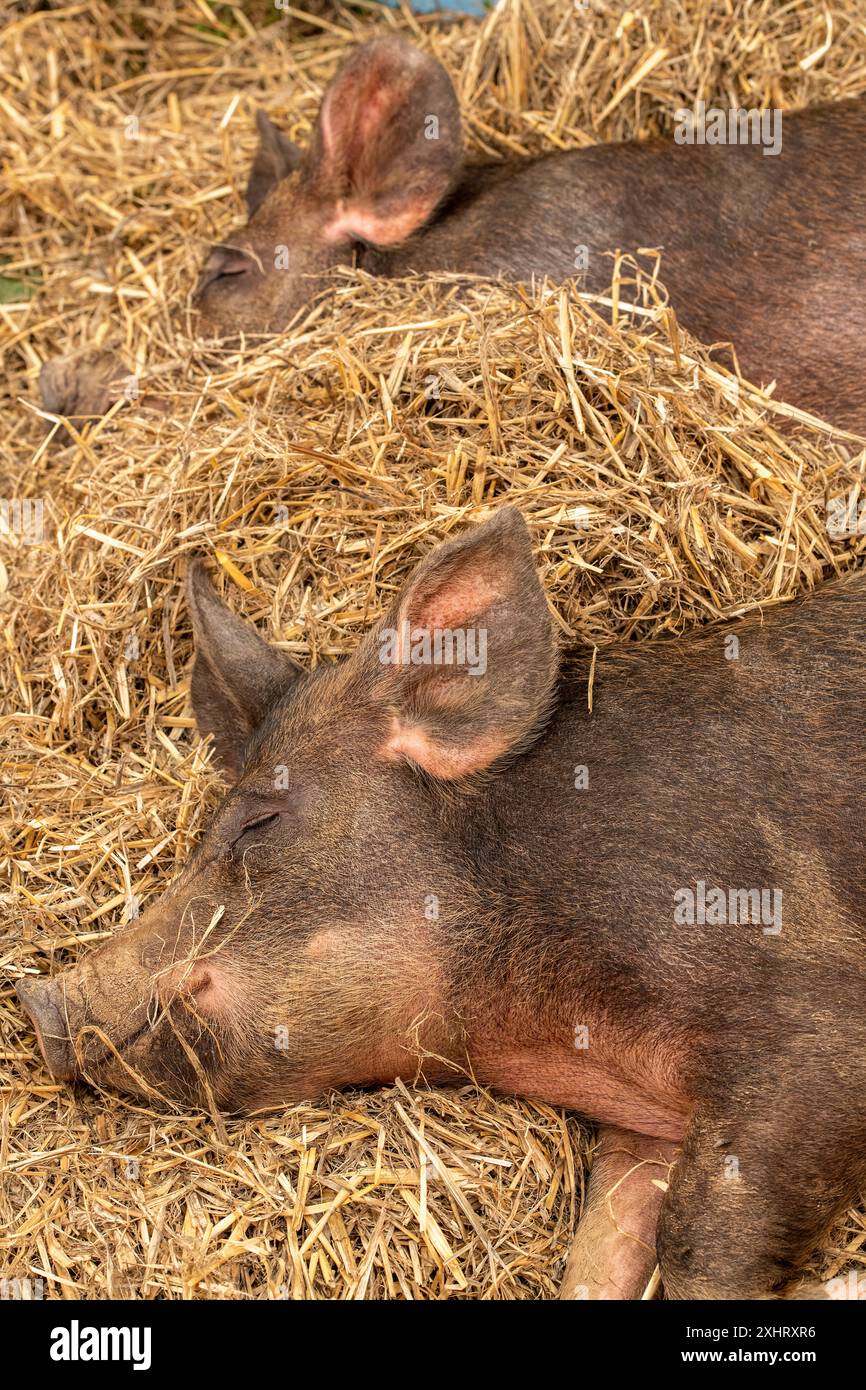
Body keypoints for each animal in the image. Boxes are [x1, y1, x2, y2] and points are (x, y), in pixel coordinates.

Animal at [16, 508, 866, 1299]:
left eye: (259, 820)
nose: (35, 1001)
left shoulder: (807, 1018)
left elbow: (696, 1242)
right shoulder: (643, 1132)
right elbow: (600, 1257)